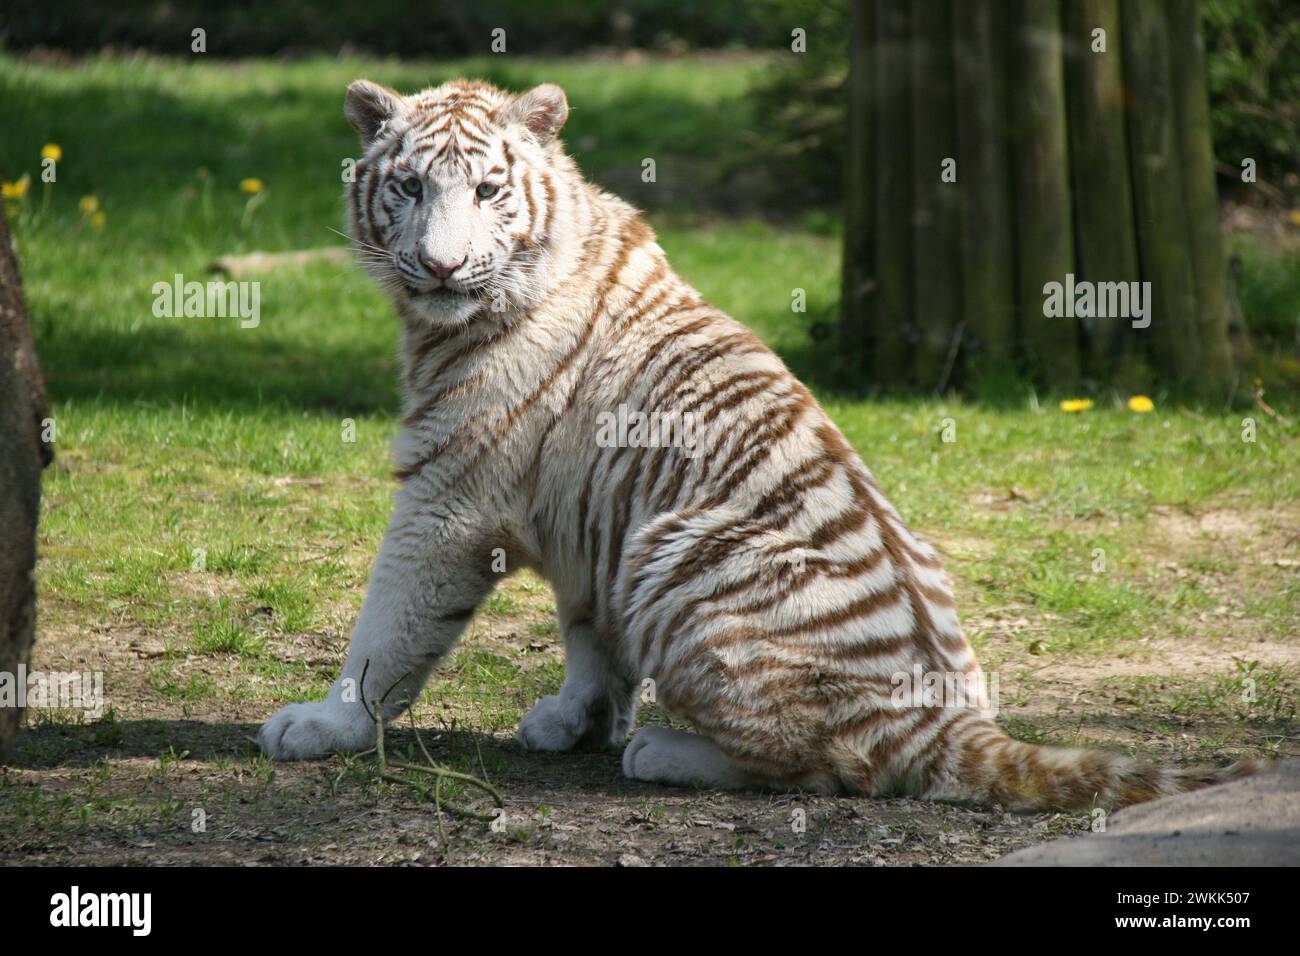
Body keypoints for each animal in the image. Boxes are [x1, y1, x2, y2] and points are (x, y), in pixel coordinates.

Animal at [257, 78, 1260, 810]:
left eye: (488, 191)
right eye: (409, 186)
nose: (442, 267)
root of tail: (945, 721)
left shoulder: (448, 500)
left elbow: (387, 632)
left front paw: (321, 727)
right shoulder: (593, 520)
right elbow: (590, 637)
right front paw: (576, 720)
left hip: (677, 550)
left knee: (832, 765)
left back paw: (663, 751)